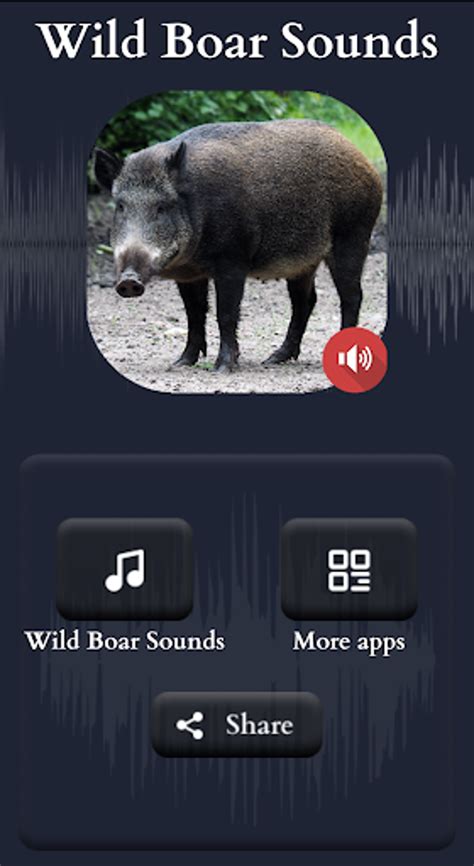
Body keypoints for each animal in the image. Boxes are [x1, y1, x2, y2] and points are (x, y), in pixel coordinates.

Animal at [94, 120, 383, 372]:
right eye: (121, 206)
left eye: (162, 207)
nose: (128, 280)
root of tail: (364, 162)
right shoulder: (189, 274)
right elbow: (194, 314)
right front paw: (180, 363)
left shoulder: (233, 260)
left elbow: (226, 313)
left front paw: (222, 368)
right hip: (303, 262)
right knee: (306, 301)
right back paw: (274, 359)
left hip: (353, 235)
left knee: (352, 295)